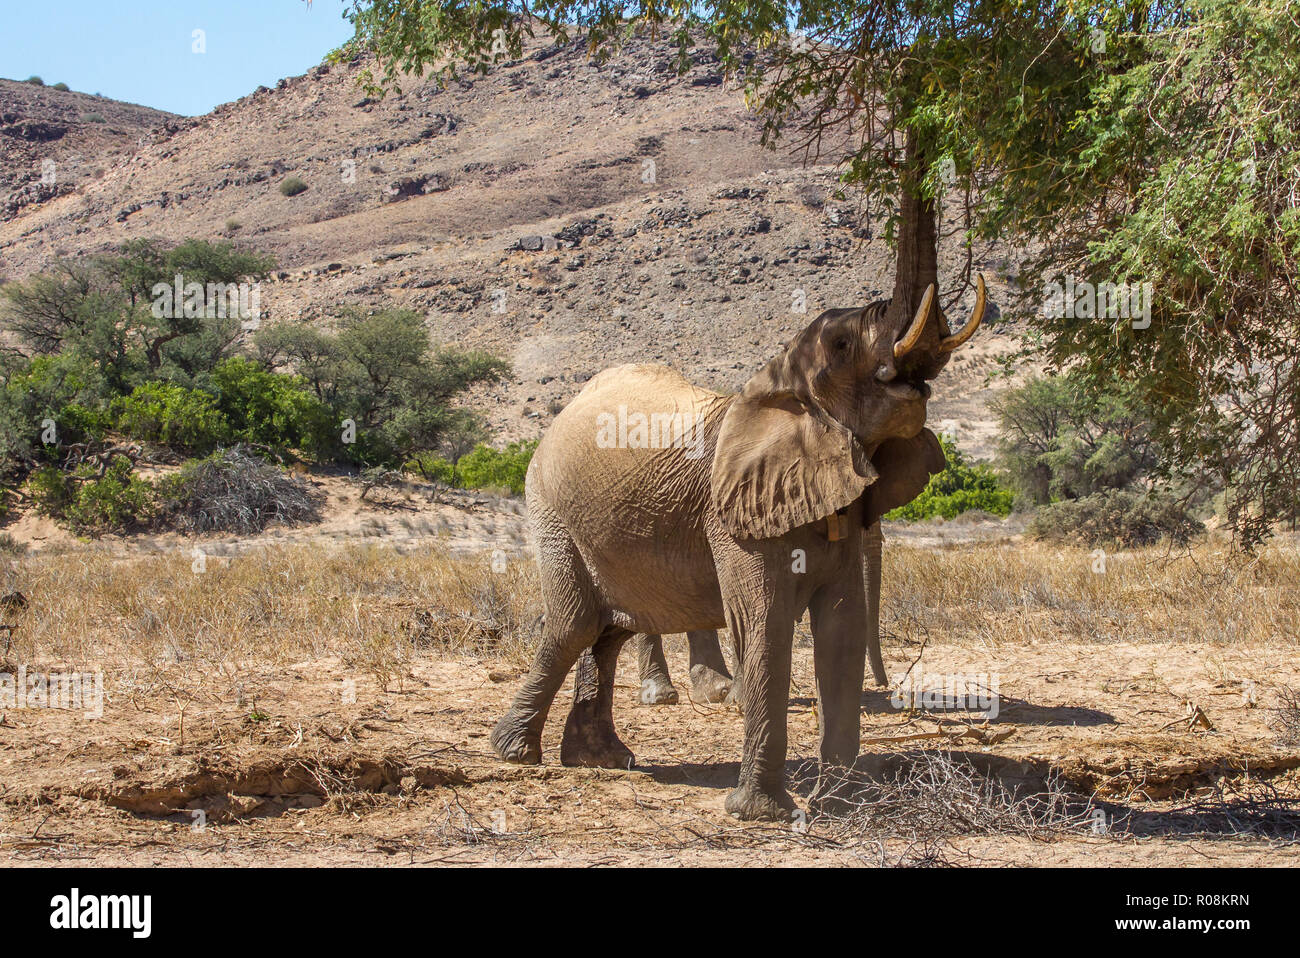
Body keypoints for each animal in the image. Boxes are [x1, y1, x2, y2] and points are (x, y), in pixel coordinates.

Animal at [491, 274, 985, 820]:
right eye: (841, 345)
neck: (780, 381)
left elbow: (843, 627)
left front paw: (845, 802)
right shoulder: (732, 514)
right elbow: (764, 621)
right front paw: (761, 813)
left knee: (609, 628)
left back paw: (602, 759)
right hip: (551, 509)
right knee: (574, 625)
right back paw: (515, 753)